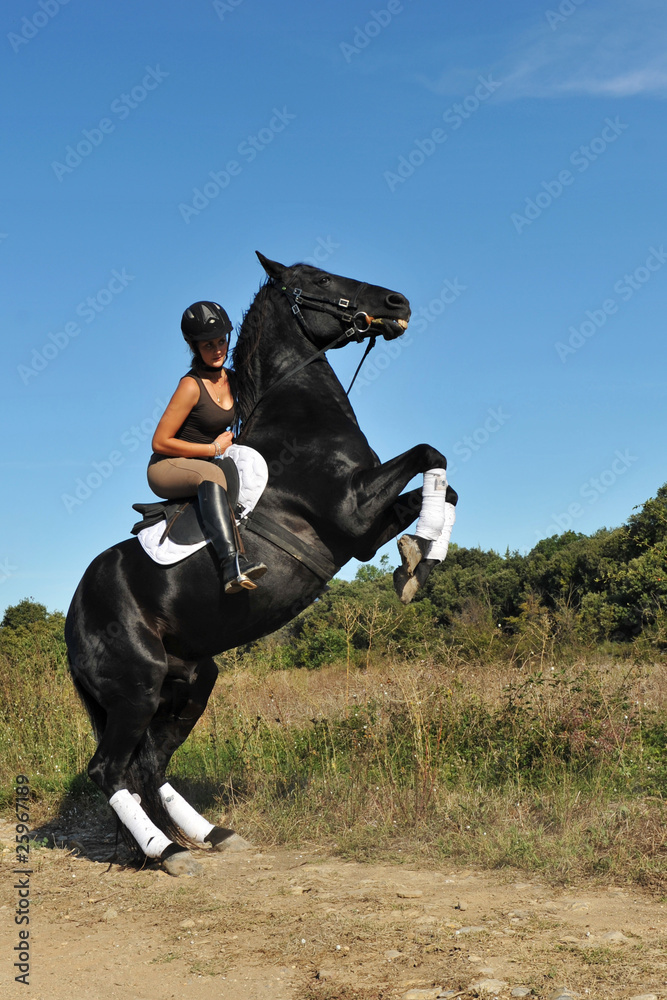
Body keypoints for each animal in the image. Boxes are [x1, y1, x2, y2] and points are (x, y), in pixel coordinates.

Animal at [65, 253, 457, 875]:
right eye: (319, 279)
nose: (397, 303)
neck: (300, 414)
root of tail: (72, 613)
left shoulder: (365, 525)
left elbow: (444, 485)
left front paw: (418, 562)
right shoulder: (352, 514)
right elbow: (430, 453)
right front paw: (419, 557)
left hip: (192, 680)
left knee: (149, 764)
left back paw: (209, 835)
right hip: (136, 687)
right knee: (110, 769)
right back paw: (165, 852)